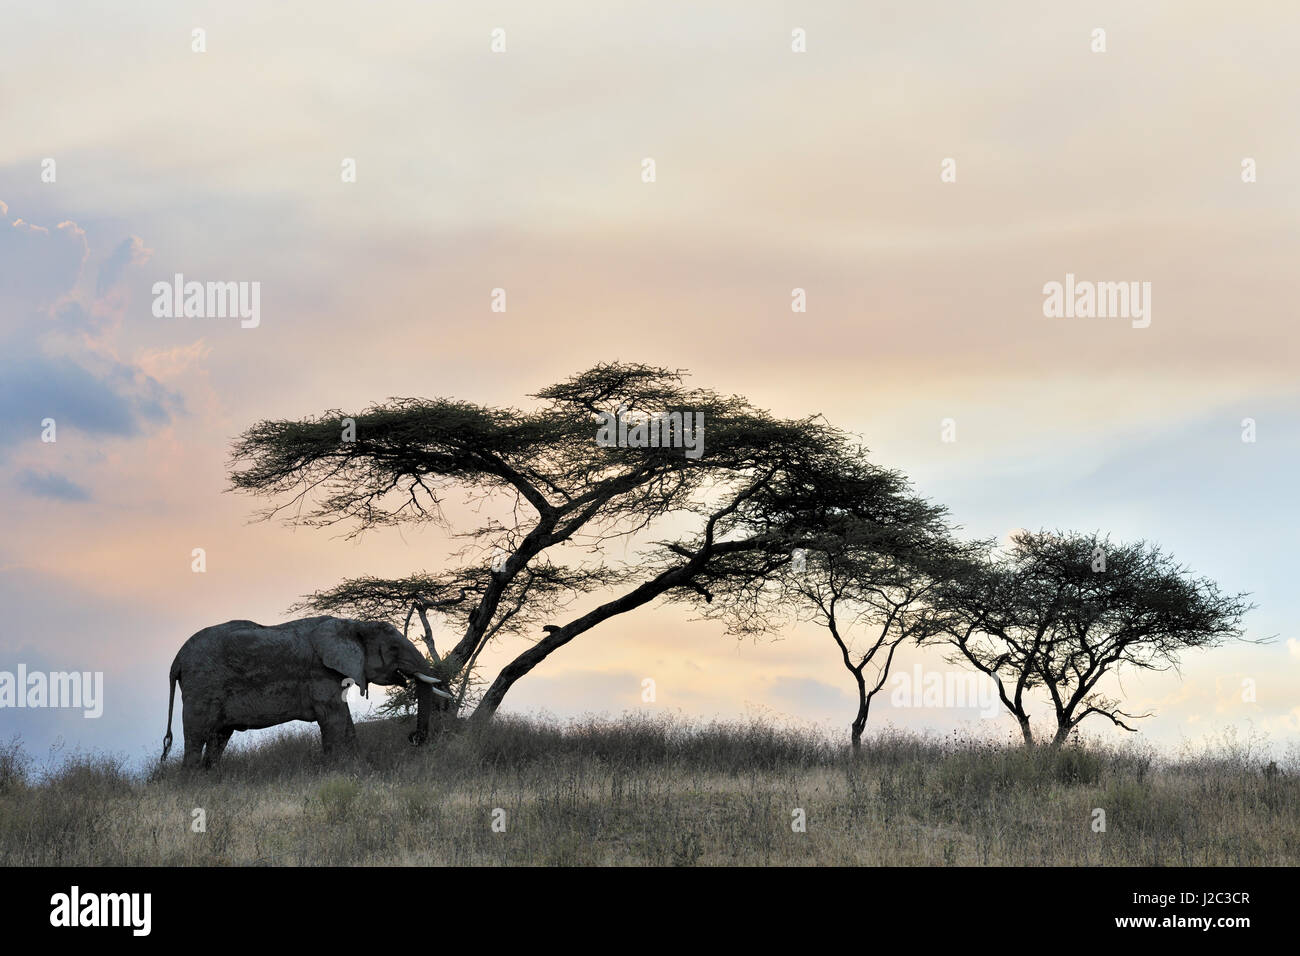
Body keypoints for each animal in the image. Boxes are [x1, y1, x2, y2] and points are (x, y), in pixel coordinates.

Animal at [161, 615, 452, 768]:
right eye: (393, 649)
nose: (413, 738)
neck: (351, 625)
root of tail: (176, 661)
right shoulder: (320, 673)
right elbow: (334, 718)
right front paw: (336, 770)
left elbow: (344, 719)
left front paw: (357, 765)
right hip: (203, 685)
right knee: (198, 734)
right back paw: (191, 781)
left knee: (219, 736)